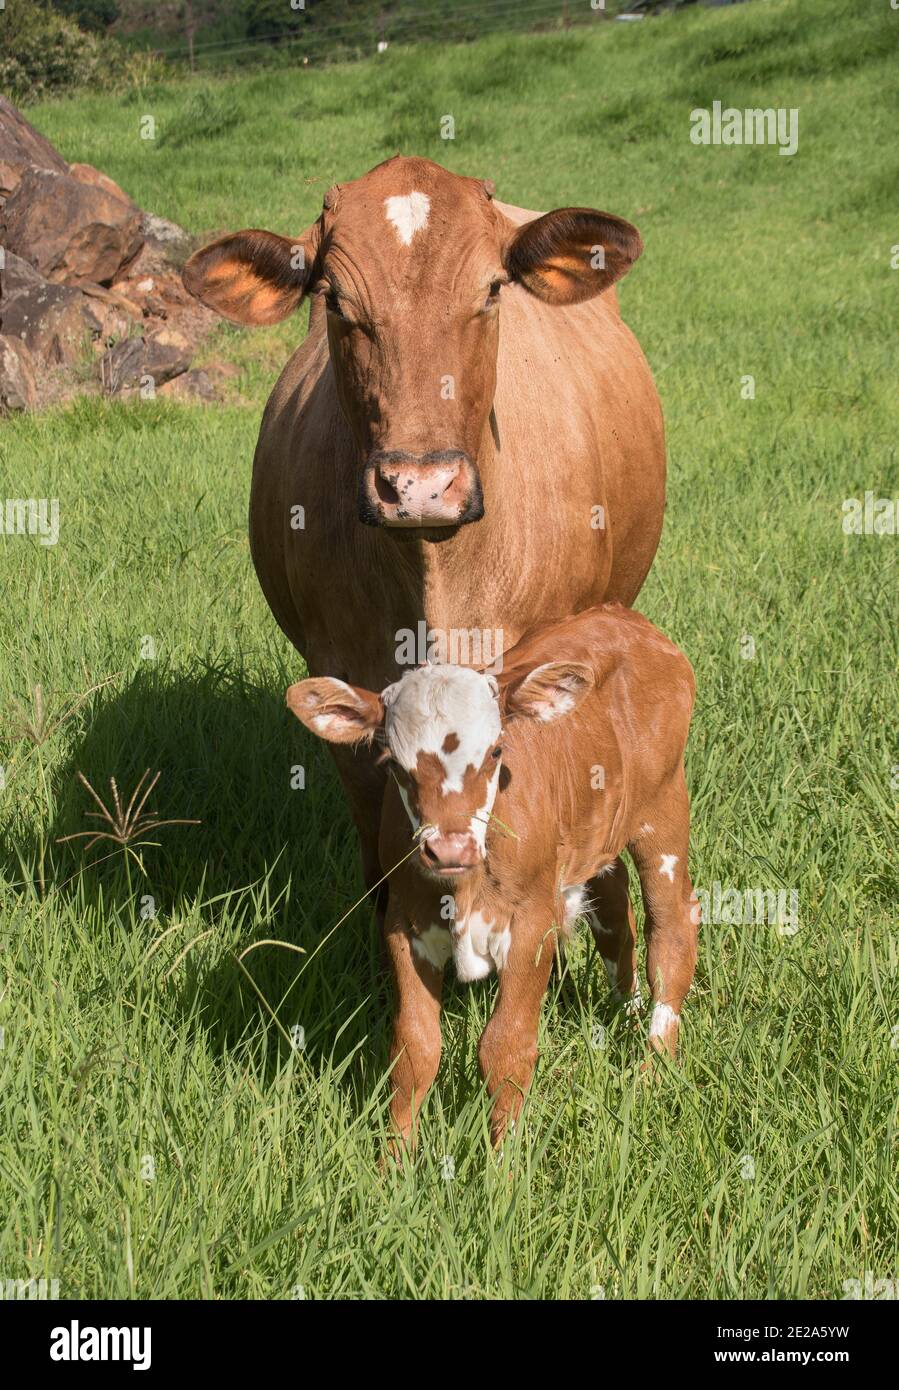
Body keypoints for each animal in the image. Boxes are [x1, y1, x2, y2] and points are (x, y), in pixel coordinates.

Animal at [286, 604, 698, 1149]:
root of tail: (625, 619)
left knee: (671, 928)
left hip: (663, 810)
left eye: (498, 750)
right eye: (394, 763)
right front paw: (395, 1157)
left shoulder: (532, 924)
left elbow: (506, 1048)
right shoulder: (405, 926)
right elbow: (413, 1048)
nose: (450, 848)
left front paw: (504, 1159)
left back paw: (654, 1066)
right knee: (615, 912)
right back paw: (624, 1008)